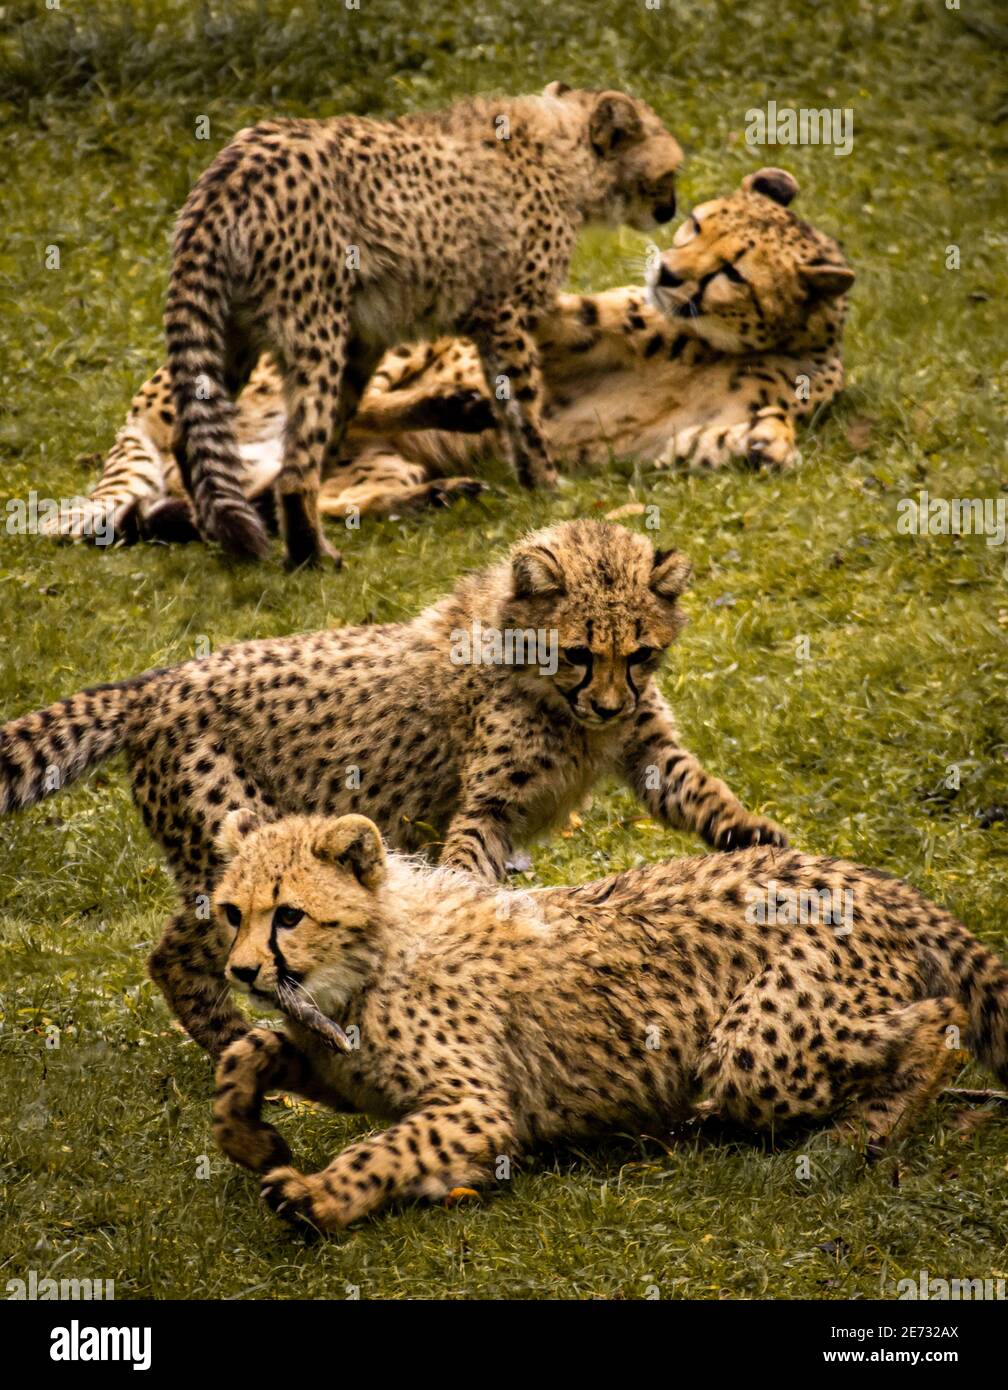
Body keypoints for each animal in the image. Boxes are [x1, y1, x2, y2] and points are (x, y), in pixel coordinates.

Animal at [0, 520, 786, 1058]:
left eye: (641, 652)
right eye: (578, 652)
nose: (608, 705)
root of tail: (159, 682)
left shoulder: (648, 748)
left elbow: (697, 790)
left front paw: (756, 837)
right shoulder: (487, 804)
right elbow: (470, 867)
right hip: (240, 849)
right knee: (195, 950)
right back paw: (265, 1046)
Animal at [46, 168, 852, 545]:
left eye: (733, 270)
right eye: (696, 224)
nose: (672, 274)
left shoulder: (668, 442)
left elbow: (748, 440)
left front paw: (771, 442)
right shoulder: (537, 325)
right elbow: (523, 349)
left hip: (352, 466)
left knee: (292, 494)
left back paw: (435, 492)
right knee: (345, 409)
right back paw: (449, 417)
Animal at [165, 83, 682, 566]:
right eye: (670, 172)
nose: (672, 209)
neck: (561, 153)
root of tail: (228, 171)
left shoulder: (402, 330)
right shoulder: (505, 316)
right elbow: (525, 412)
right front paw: (547, 488)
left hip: (233, 336)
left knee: (190, 439)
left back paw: (225, 534)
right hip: (314, 332)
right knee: (296, 467)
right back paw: (312, 555)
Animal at [210, 809, 1008, 1231]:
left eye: (289, 914)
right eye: (230, 912)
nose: (242, 972)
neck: (372, 958)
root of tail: (870, 878)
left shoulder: (478, 1109)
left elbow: (386, 1150)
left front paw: (316, 1195)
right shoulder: (344, 1067)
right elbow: (247, 1051)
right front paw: (249, 1137)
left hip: (754, 1052)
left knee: (942, 1019)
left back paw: (860, 1133)